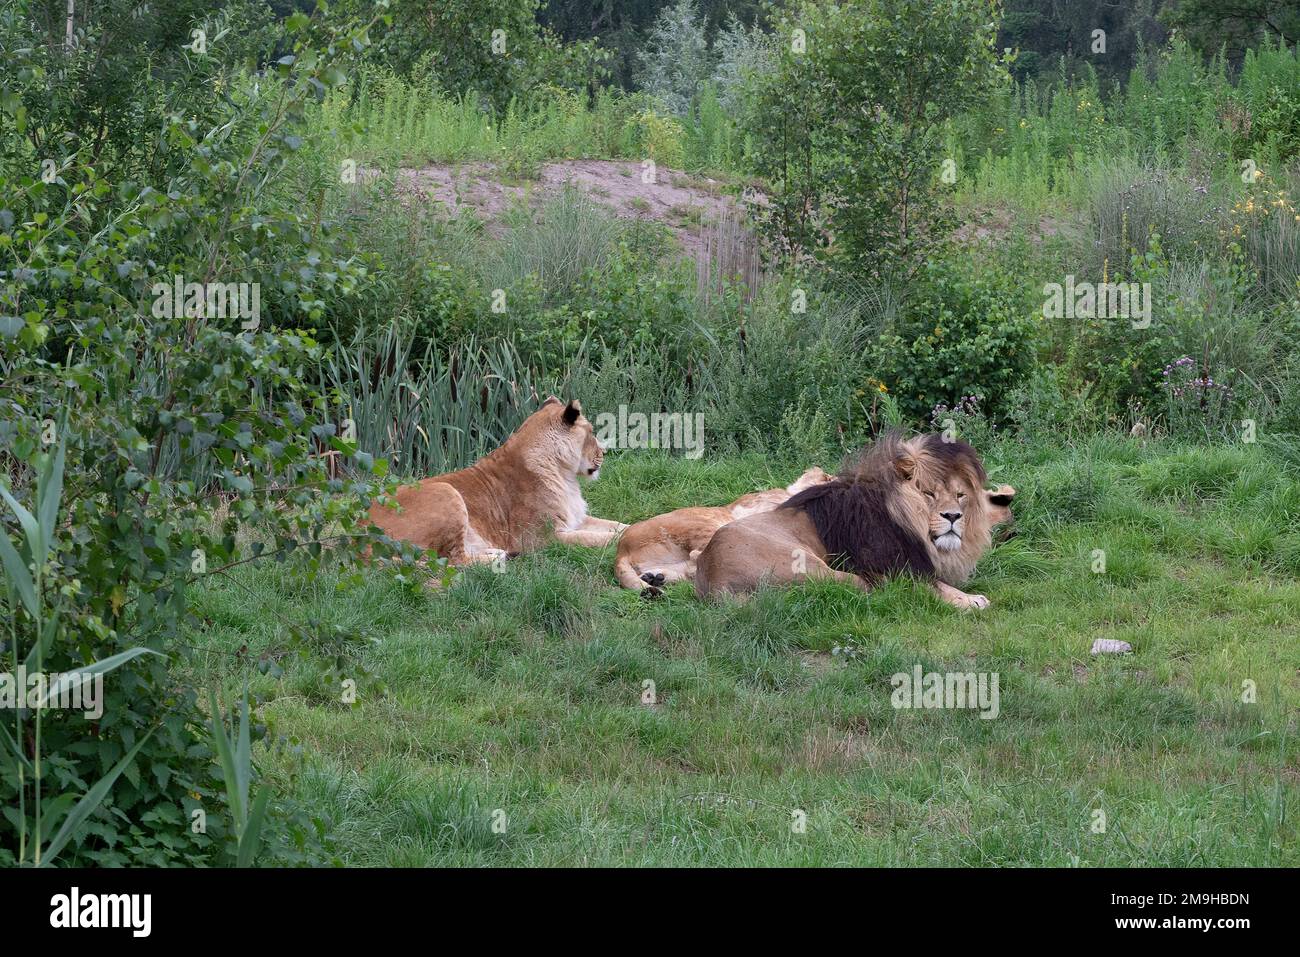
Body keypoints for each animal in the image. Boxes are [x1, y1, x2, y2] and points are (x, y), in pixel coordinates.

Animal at [368, 397, 627, 565]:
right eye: (591, 432)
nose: (604, 453)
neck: (565, 475)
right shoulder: (542, 539)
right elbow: (595, 538)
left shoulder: (575, 519)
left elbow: (617, 525)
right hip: (446, 491)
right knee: (453, 560)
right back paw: (497, 558)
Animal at [694, 432, 1016, 609]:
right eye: (928, 493)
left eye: (960, 495)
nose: (953, 516)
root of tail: (713, 582)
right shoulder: (888, 566)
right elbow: (932, 585)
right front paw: (970, 600)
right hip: (817, 570)